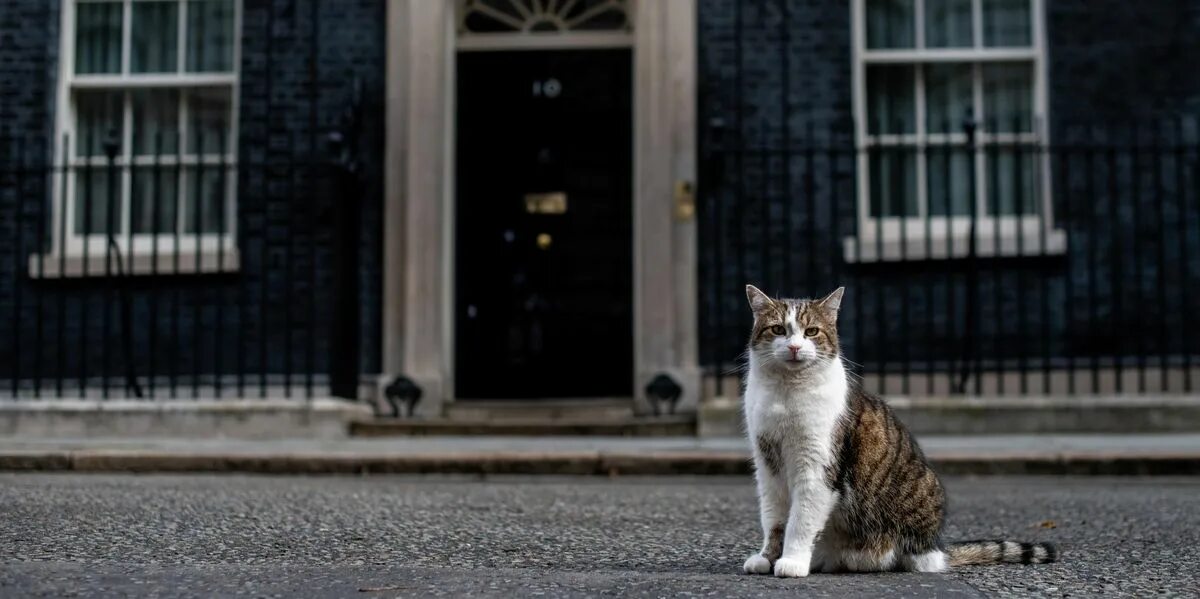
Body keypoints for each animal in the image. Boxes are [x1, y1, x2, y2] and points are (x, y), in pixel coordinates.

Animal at [734, 286, 1056, 580]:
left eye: (811, 331)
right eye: (778, 329)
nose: (794, 348)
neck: (786, 393)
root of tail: (937, 548)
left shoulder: (816, 466)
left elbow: (800, 521)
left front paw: (793, 562)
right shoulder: (767, 464)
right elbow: (774, 520)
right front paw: (767, 558)